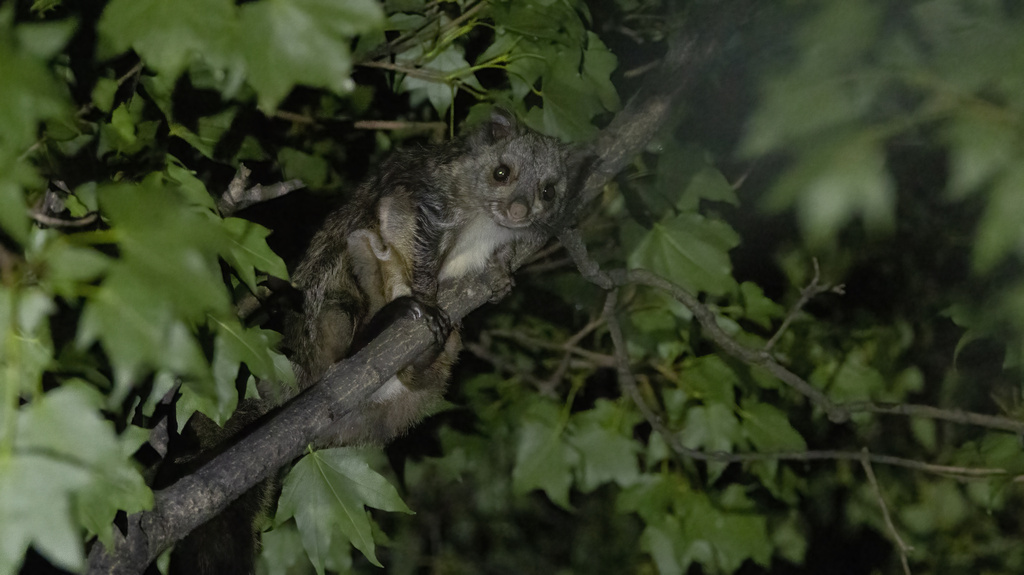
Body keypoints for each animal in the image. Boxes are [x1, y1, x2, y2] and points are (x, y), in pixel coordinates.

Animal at [167, 108, 590, 574]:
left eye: (548, 191)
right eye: (502, 173)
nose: (518, 210)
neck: (484, 221)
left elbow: (498, 261)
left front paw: (499, 277)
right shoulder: (418, 201)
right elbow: (412, 243)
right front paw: (425, 295)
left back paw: (426, 356)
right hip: (335, 300)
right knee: (347, 309)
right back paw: (384, 324)